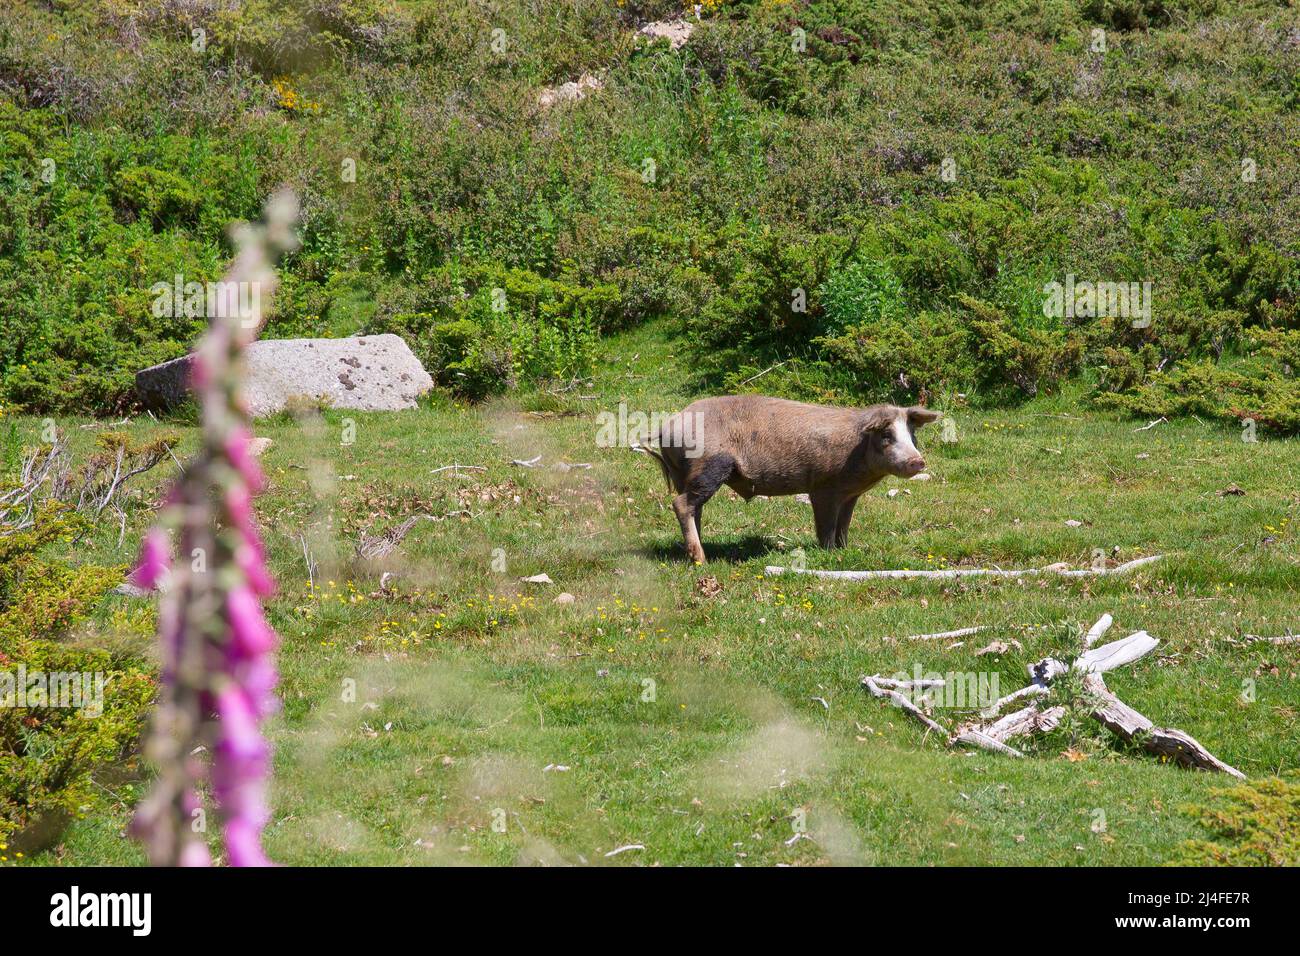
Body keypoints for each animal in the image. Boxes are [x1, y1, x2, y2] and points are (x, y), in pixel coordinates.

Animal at [642, 395, 943, 563]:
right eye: (886, 435)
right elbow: (826, 527)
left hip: (688, 475)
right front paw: (829, 554)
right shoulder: (823, 488)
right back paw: (701, 560)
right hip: (710, 466)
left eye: (911, 435)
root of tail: (667, 426)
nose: (918, 461)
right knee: (681, 504)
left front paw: (845, 550)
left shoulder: (850, 495)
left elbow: (844, 525)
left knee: (694, 508)